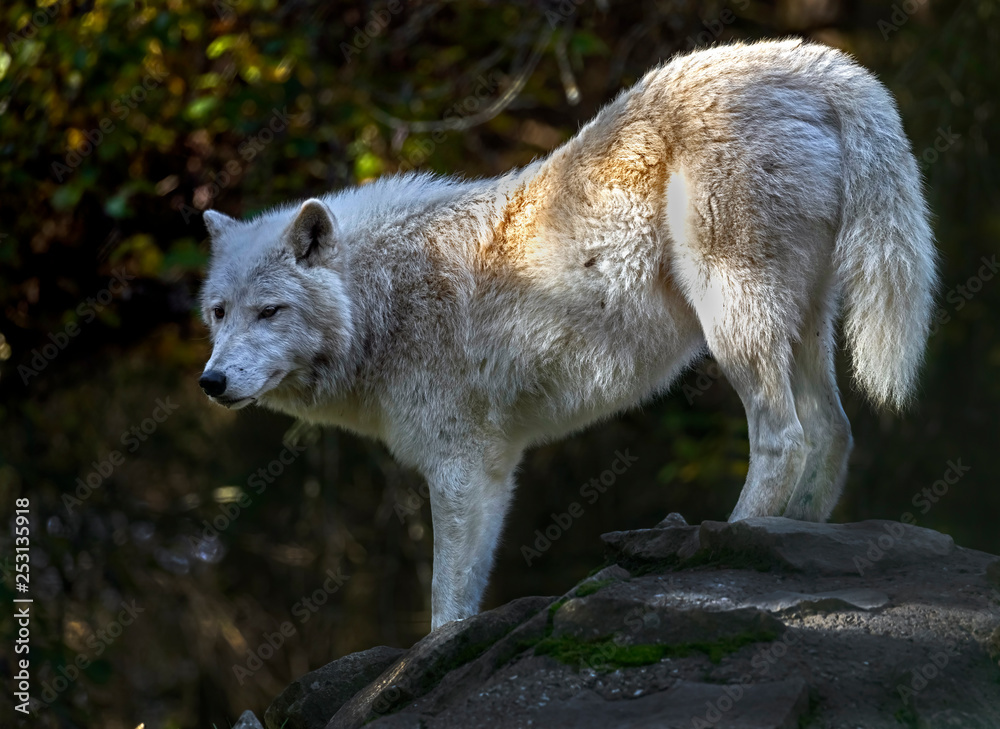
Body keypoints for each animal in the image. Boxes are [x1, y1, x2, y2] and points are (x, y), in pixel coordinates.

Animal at [199, 39, 936, 630]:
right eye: (218, 313)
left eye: (270, 311)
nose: (211, 381)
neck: (384, 299)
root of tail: (816, 63)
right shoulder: (495, 467)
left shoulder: (461, 465)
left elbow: (446, 605)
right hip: (802, 324)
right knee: (834, 431)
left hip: (734, 319)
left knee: (786, 436)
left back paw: (723, 544)